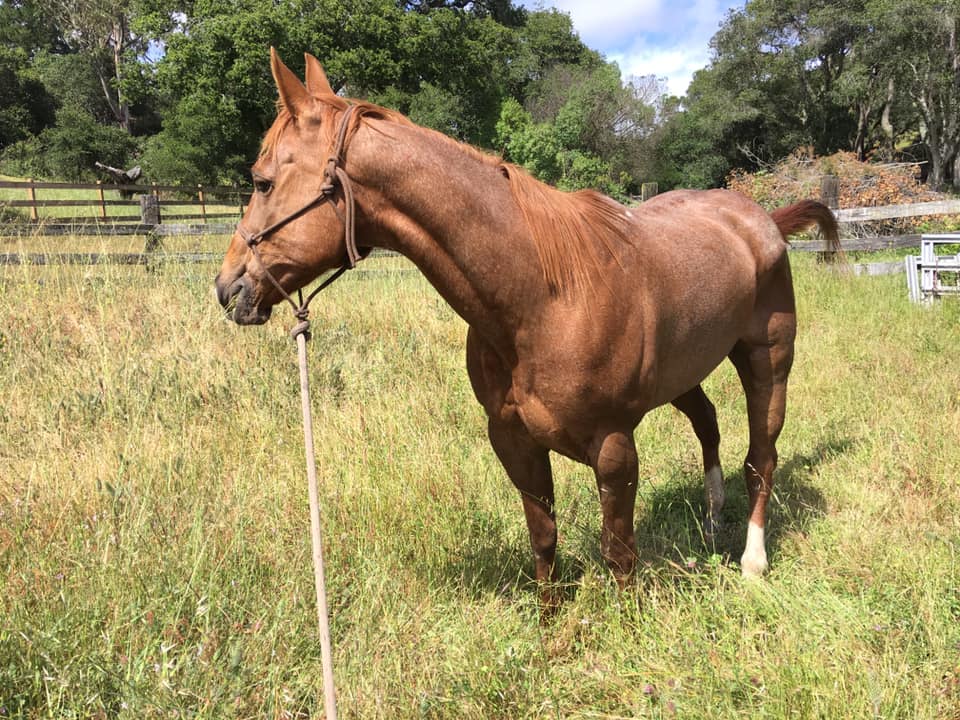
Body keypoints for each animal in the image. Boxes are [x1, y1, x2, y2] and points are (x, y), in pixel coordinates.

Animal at [215, 50, 840, 613]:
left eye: (262, 182)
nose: (228, 288)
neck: (540, 298)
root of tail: (761, 219)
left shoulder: (614, 445)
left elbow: (619, 551)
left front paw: (629, 626)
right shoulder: (513, 440)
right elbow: (543, 537)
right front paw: (548, 623)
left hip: (766, 360)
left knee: (762, 455)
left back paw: (752, 560)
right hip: (683, 369)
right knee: (708, 424)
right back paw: (711, 521)